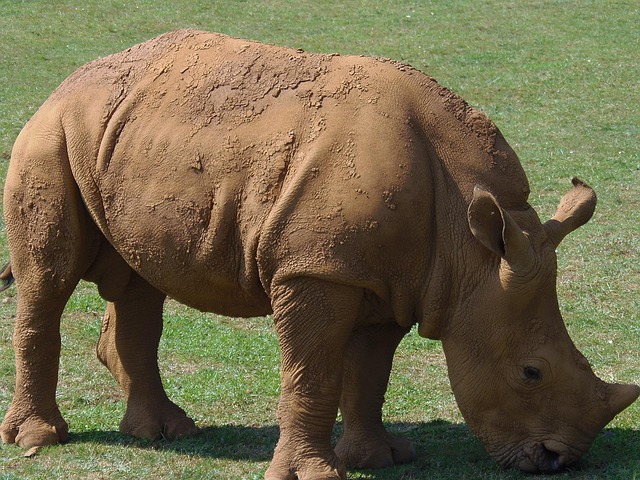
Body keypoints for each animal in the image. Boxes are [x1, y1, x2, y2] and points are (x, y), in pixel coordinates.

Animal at [1, 30, 637, 479]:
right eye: (531, 372)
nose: (559, 460)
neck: (471, 247)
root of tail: (69, 81)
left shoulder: (394, 279)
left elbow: (369, 371)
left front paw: (379, 458)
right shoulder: (317, 270)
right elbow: (313, 370)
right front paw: (316, 474)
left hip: (126, 142)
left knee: (139, 285)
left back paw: (167, 434)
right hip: (50, 137)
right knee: (49, 281)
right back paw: (40, 439)